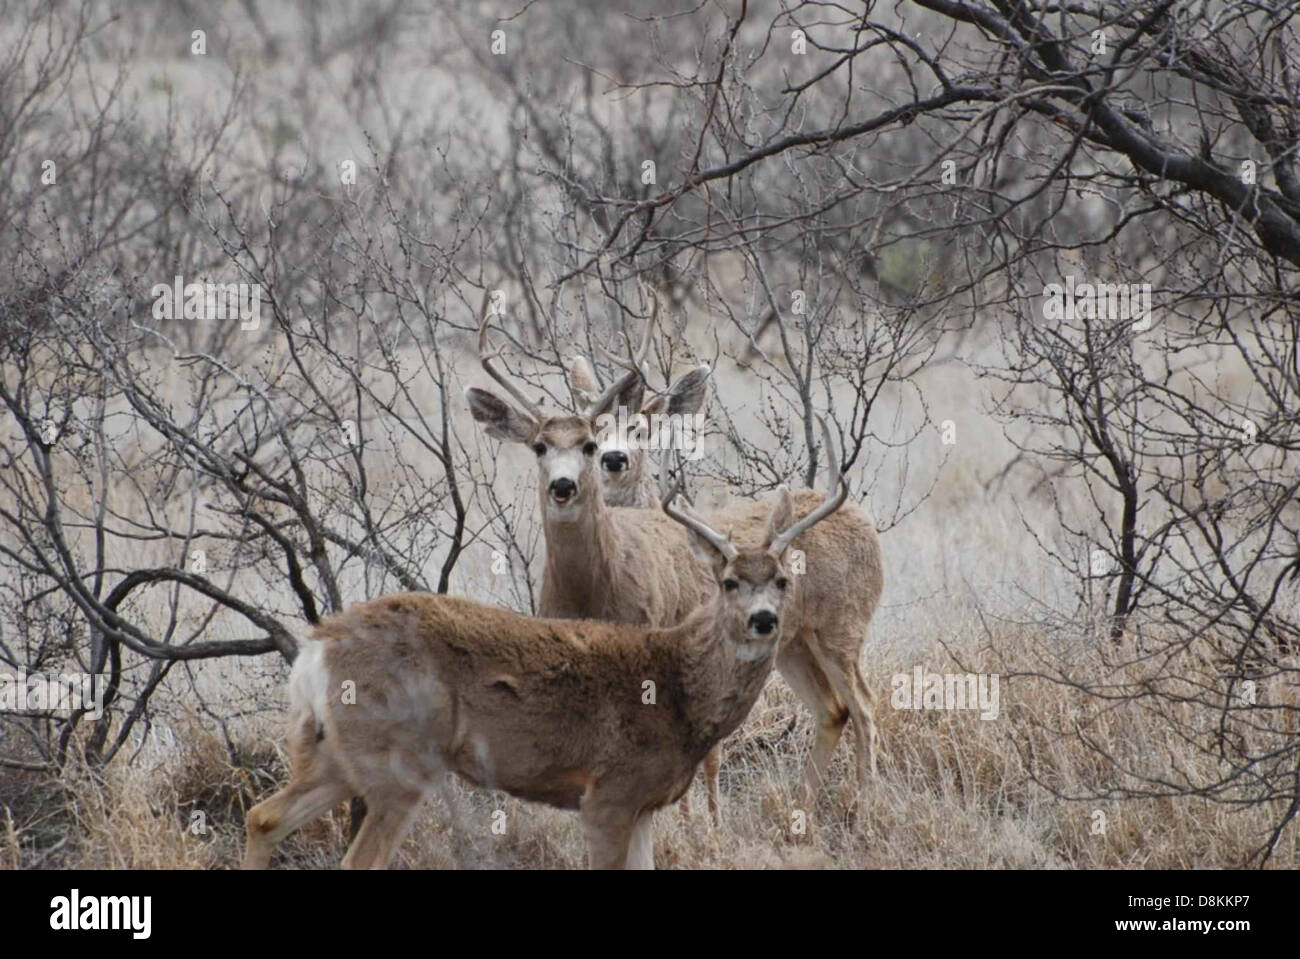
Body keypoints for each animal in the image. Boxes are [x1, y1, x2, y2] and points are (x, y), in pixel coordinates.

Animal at [241, 418, 849, 869]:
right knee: (354, 856)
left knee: (262, 817)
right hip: (394, 761)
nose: (764, 620)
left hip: (340, 753)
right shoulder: (607, 792)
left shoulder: (645, 804)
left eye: (782, 581)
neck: (678, 692)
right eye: (727, 583)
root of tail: (314, 650)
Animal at [467, 292, 883, 814]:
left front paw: (695, 822)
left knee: (865, 706)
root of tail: (867, 523)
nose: (565, 485)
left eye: (588, 444)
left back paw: (865, 806)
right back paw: (800, 808)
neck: (595, 587)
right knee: (833, 708)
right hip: (792, 642)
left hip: (842, 626)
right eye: (539, 446)